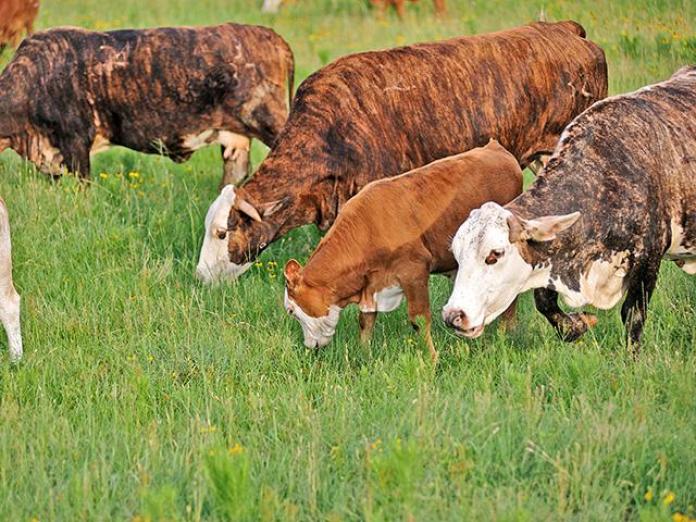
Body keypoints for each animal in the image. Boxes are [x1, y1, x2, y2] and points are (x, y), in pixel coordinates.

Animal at [283, 140, 522, 362]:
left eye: (291, 311)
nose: (309, 346)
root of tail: (495, 148)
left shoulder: (414, 271)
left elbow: (419, 319)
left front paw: (432, 359)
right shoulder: (372, 284)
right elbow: (365, 320)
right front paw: (364, 353)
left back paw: (506, 334)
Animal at [442, 66, 696, 355]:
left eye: (494, 255)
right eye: (457, 255)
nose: (452, 315)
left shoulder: (648, 259)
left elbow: (633, 317)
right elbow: (544, 300)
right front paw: (576, 325)